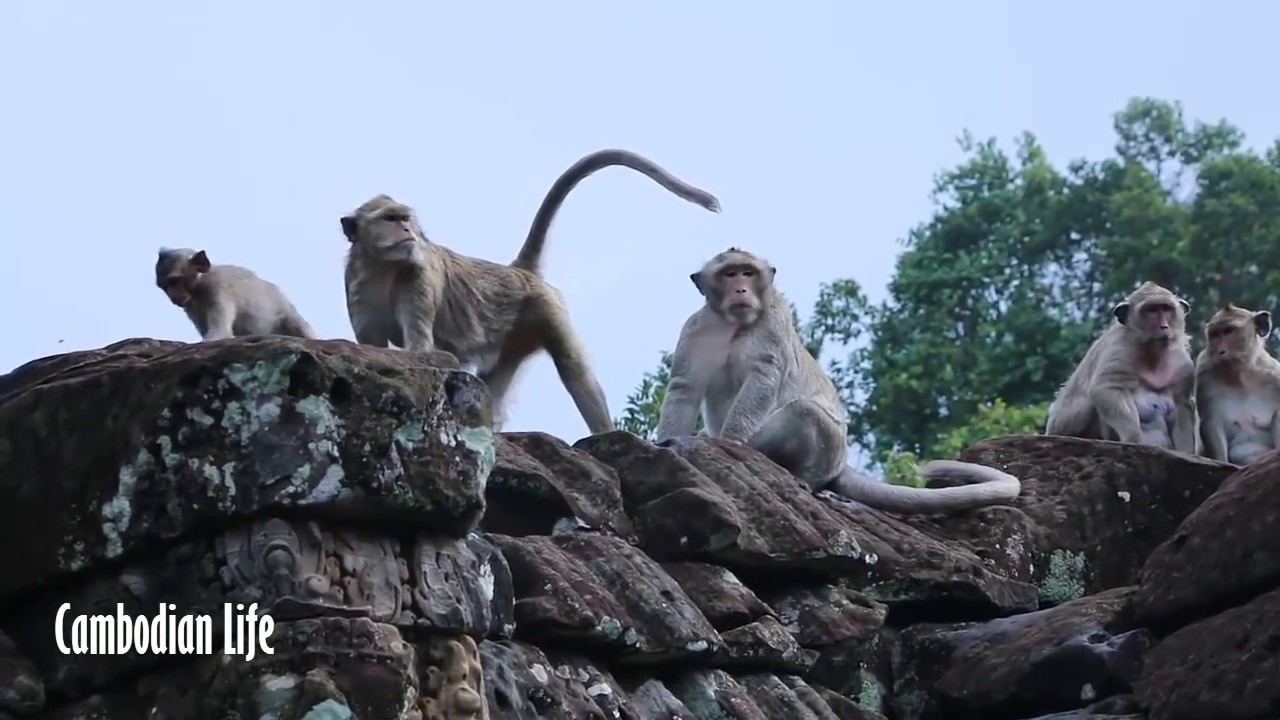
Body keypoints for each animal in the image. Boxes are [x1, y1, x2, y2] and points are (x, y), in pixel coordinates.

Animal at [154, 248, 316, 341]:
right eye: (164, 286)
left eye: (174, 281)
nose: (173, 296)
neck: (201, 283)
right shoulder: (191, 306)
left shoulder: (217, 289)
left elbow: (221, 332)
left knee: (295, 322)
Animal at [340, 148, 721, 435]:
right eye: (389, 219)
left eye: (404, 218)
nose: (407, 230)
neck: (384, 268)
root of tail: (517, 270)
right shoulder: (356, 282)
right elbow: (372, 344)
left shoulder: (419, 279)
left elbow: (420, 347)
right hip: (515, 337)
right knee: (493, 383)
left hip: (543, 308)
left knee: (574, 369)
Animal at [652, 247, 1021, 514]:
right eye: (729, 274)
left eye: (748, 272)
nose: (741, 288)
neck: (735, 325)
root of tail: (842, 463)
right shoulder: (696, 329)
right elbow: (685, 389)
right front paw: (667, 445)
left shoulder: (774, 321)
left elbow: (763, 380)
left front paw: (726, 443)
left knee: (808, 413)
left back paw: (807, 479)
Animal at [1044, 281, 1196, 453]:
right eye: (1151, 310)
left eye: (1166, 308)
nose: (1164, 326)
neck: (1152, 355)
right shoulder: (1120, 350)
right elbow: (1106, 389)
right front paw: (1134, 439)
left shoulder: (1182, 365)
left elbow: (1181, 404)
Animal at [1194, 304, 1280, 465]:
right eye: (1214, 335)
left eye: (1229, 331)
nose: (1220, 352)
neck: (1240, 376)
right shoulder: (1204, 375)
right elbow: (1212, 422)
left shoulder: (1275, 376)